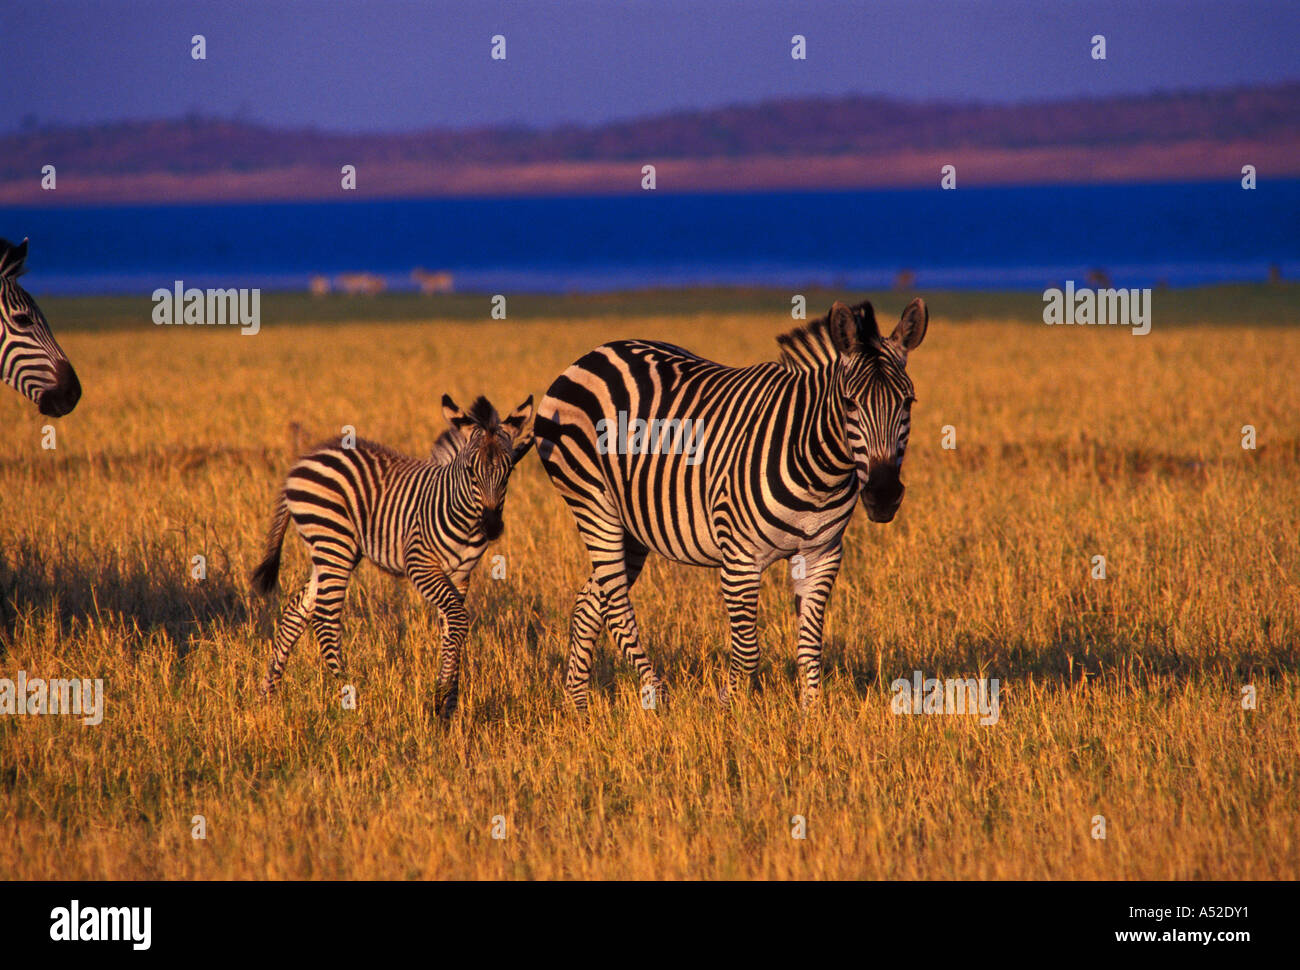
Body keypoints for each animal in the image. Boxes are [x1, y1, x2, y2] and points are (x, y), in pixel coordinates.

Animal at [251, 394, 534, 716]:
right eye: (471, 471)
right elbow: (458, 620)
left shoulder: (461, 576)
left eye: (509, 471)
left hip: (329, 546)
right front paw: (441, 695)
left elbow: (452, 627)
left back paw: (267, 692)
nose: (492, 526)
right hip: (335, 542)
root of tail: (305, 458)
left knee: (297, 610)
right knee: (325, 617)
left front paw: (447, 703)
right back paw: (350, 691)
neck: (460, 511)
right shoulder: (421, 565)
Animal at [535, 299, 927, 711]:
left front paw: (811, 714)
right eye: (850, 403)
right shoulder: (739, 560)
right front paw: (728, 709)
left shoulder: (822, 555)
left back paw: (577, 703)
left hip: (634, 526)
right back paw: (657, 695)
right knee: (617, 606)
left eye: (908, 401)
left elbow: (810, 647)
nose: (883, 495)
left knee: (590, 602)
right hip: (594, 504)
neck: (817, 469)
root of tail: (593, 354)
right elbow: (748, 650)